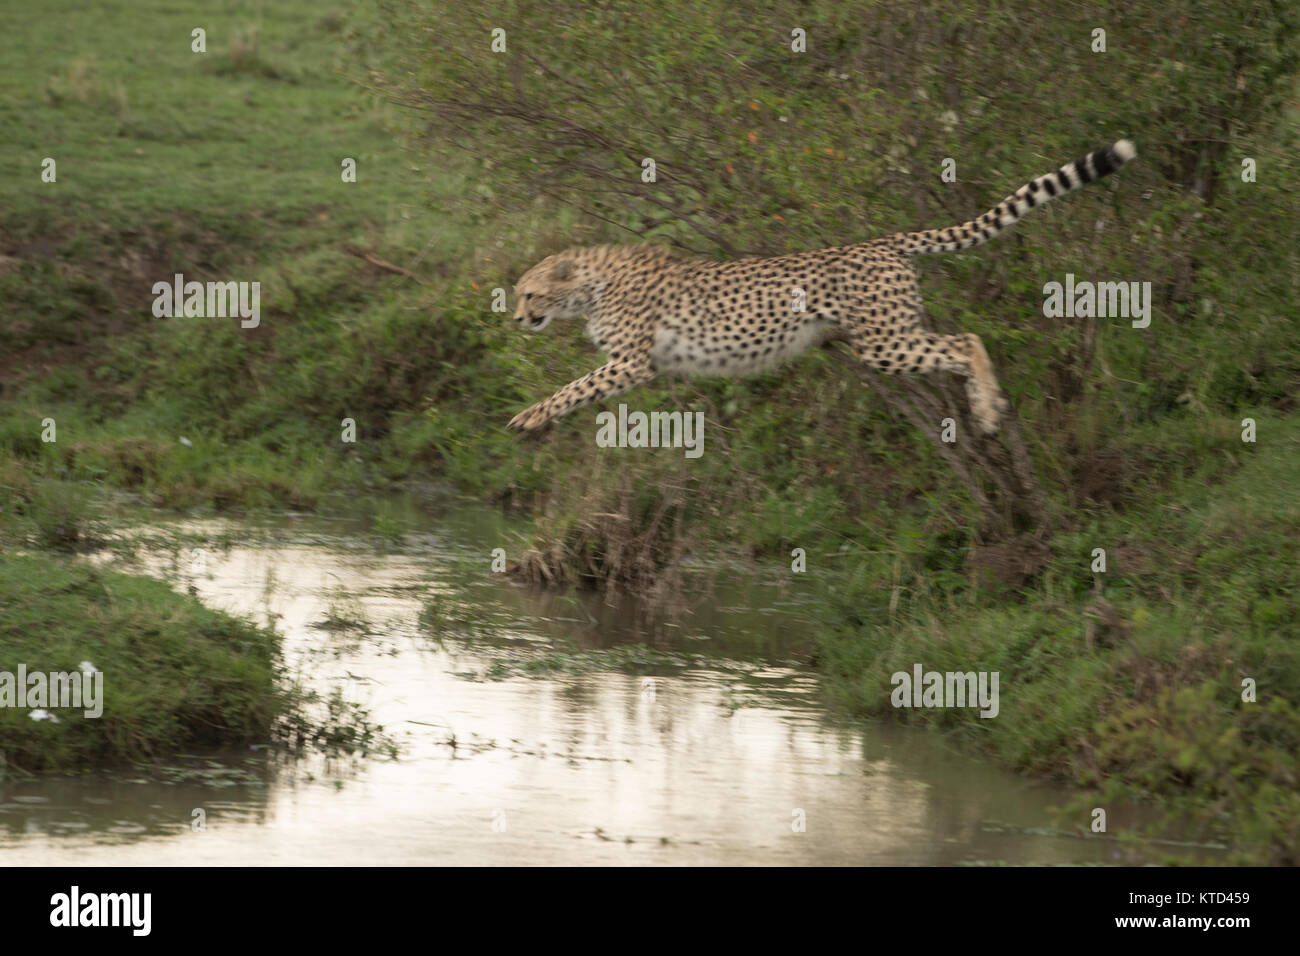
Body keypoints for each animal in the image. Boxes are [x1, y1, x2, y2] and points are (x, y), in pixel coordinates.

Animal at [507, 139, 1136, 436]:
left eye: (528, 293)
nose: (514, 319)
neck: (592, 284)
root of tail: (883, 240)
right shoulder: (647, 365)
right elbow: (580, 386)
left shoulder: (633, 363)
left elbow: (574, 387)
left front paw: (530, 417)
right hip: (888, 336)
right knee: (961, 345)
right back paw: (989, 404)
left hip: (882, 341)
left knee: (967, 341)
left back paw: (984, 410)